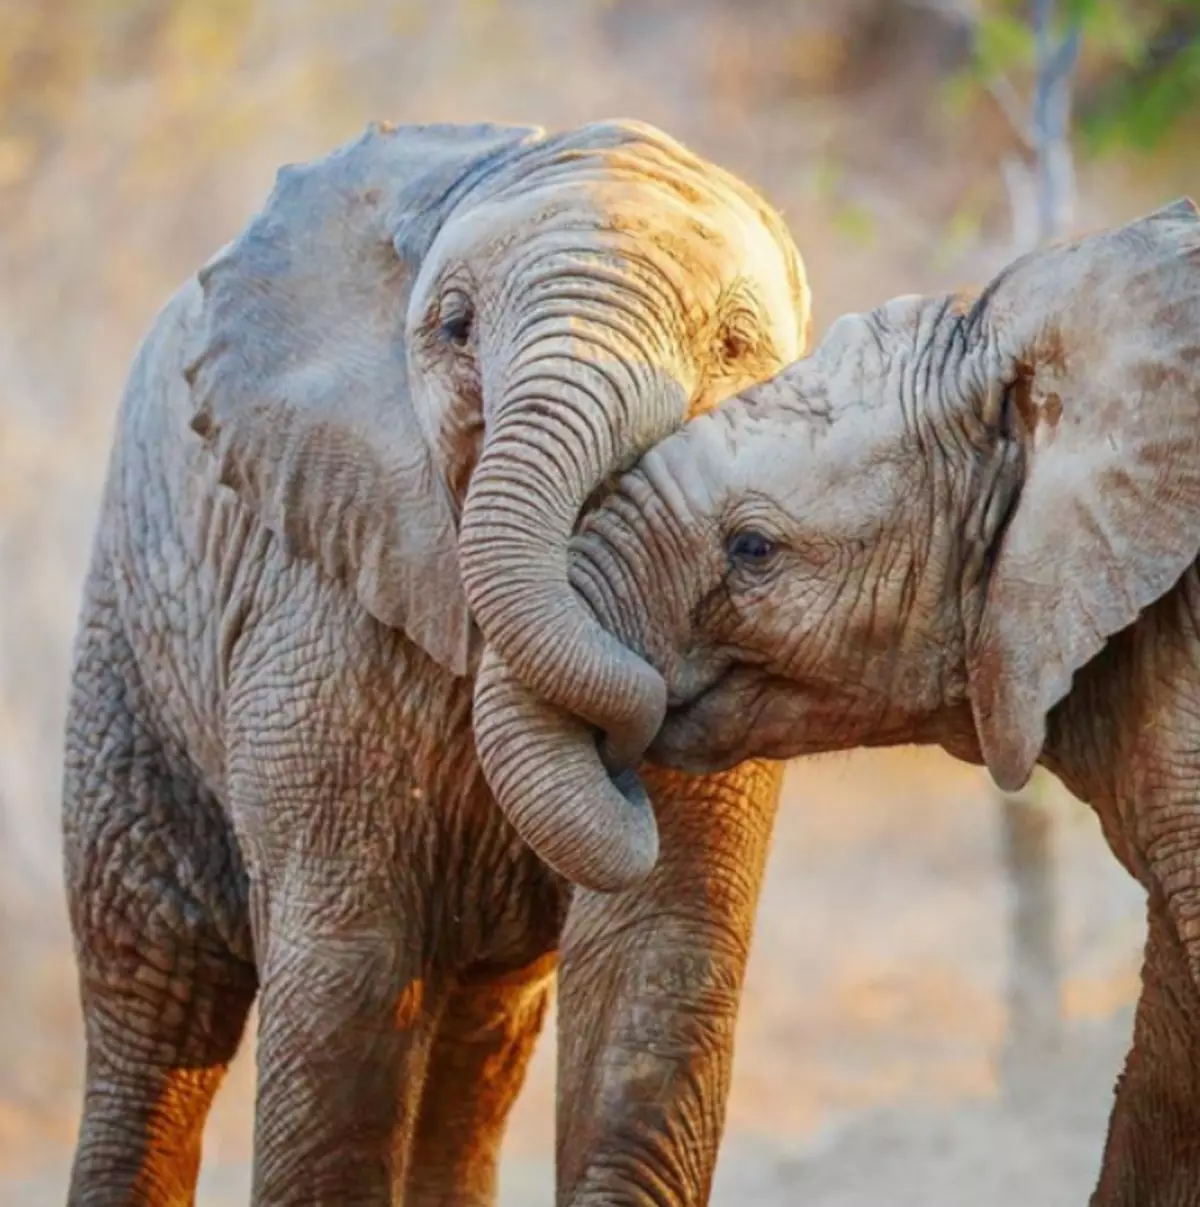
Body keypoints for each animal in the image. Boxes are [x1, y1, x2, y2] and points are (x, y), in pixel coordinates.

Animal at [60, 115, 811, 1207]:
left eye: (735, 346)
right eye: (454, 326)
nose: (626, 743)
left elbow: (653, 957)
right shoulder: (317, 598)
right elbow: (351, 974)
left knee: (477, 1041)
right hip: (130, 634)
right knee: (154, 990)